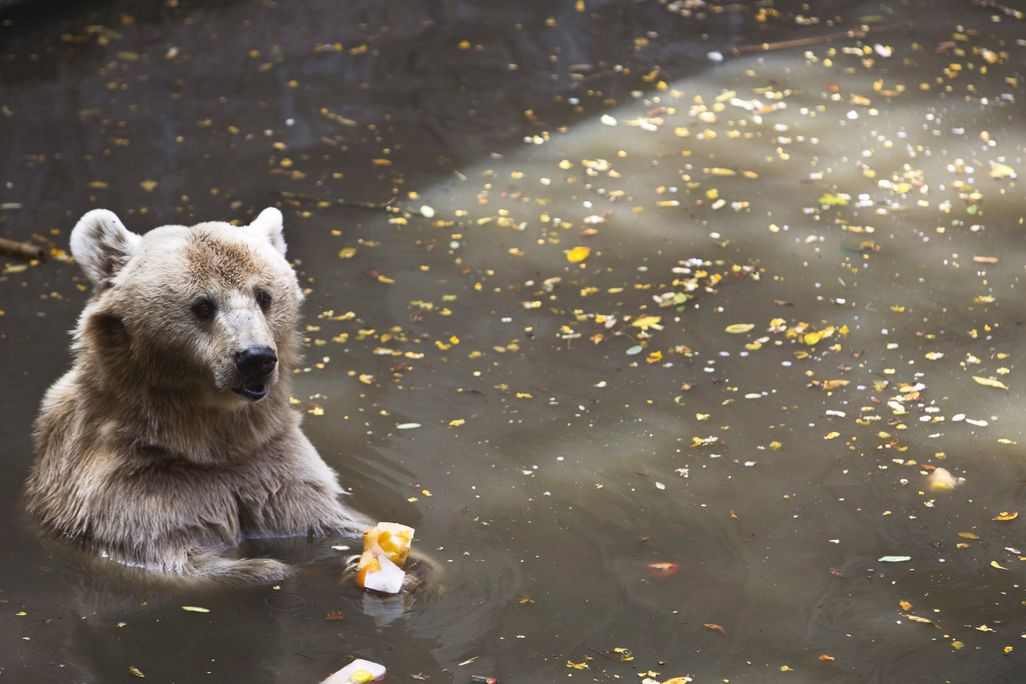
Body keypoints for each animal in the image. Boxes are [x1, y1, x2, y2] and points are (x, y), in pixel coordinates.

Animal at [25, 207, 368, 583]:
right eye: (203, 305)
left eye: (264, 296)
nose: (255, 359)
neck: (204, 437)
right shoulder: (131, 487)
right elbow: (179, 561)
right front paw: (276, 568)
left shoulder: (272, 462)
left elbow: (328, 517)